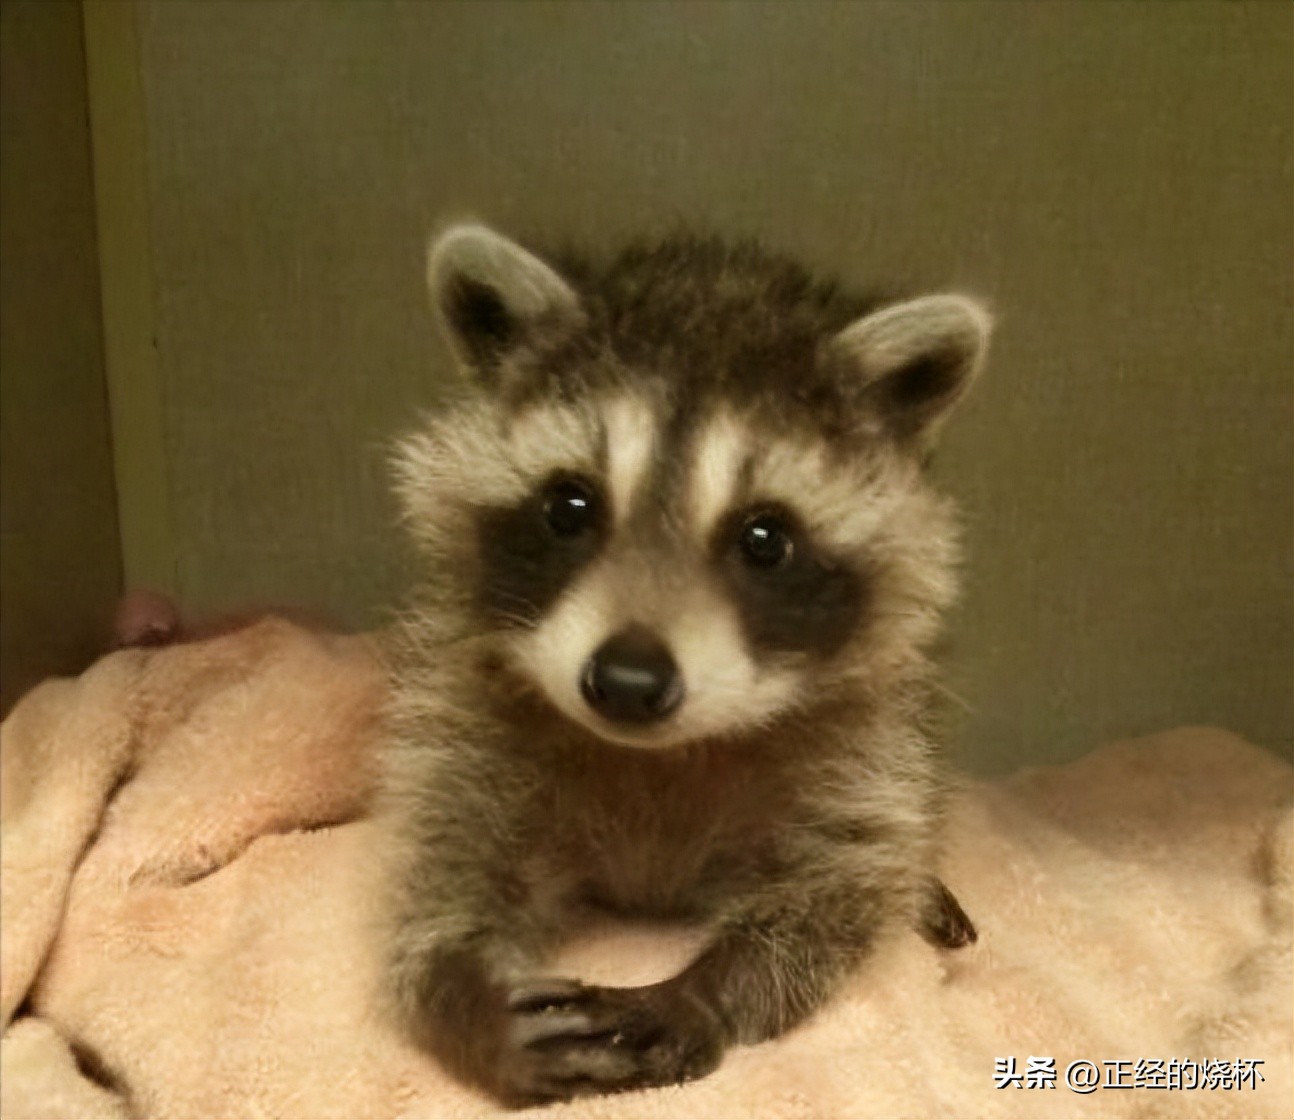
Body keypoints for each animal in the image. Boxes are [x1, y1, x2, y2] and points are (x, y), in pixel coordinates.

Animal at [379, 224, 988, 1107]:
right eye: (569, 506)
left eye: (765, 539)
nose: (628, 684)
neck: (656, 752)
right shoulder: (466, 717)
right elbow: (442, 865)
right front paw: (462, 987)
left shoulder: (866, 747)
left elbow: (840, 886)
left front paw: (709, 989)